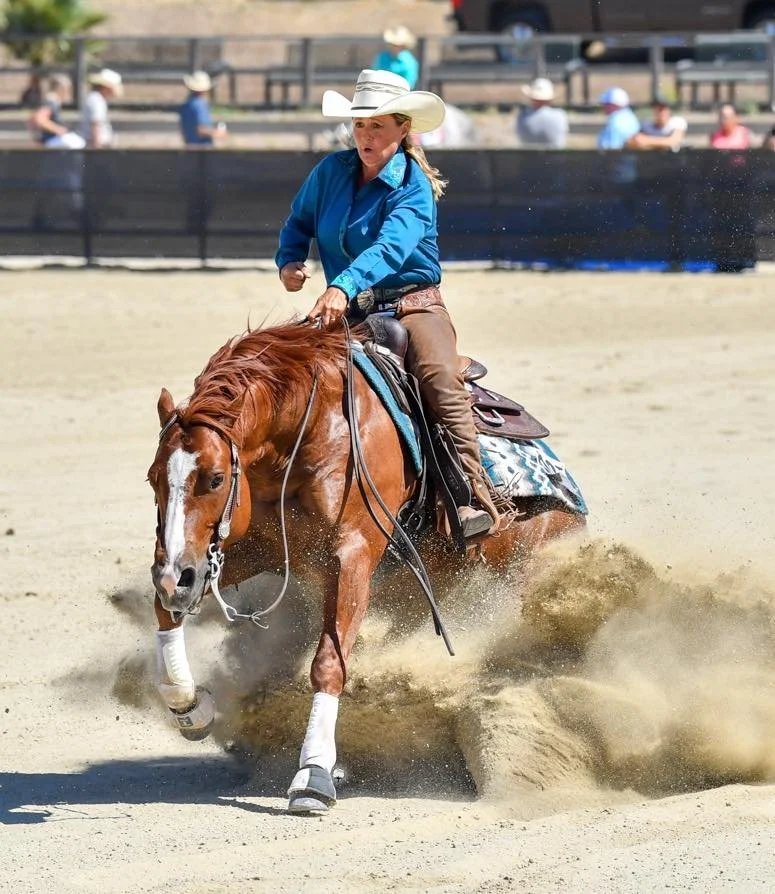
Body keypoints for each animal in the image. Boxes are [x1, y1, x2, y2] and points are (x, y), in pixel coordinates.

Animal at [147, 320, 586, 813]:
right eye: (152, 478)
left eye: (216, 479)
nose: (174, 578)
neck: (308, 431)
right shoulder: (252, 551)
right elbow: (163, 614)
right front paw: (190, 707)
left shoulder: (351, 557)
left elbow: (328, 664)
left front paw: (314, 774)